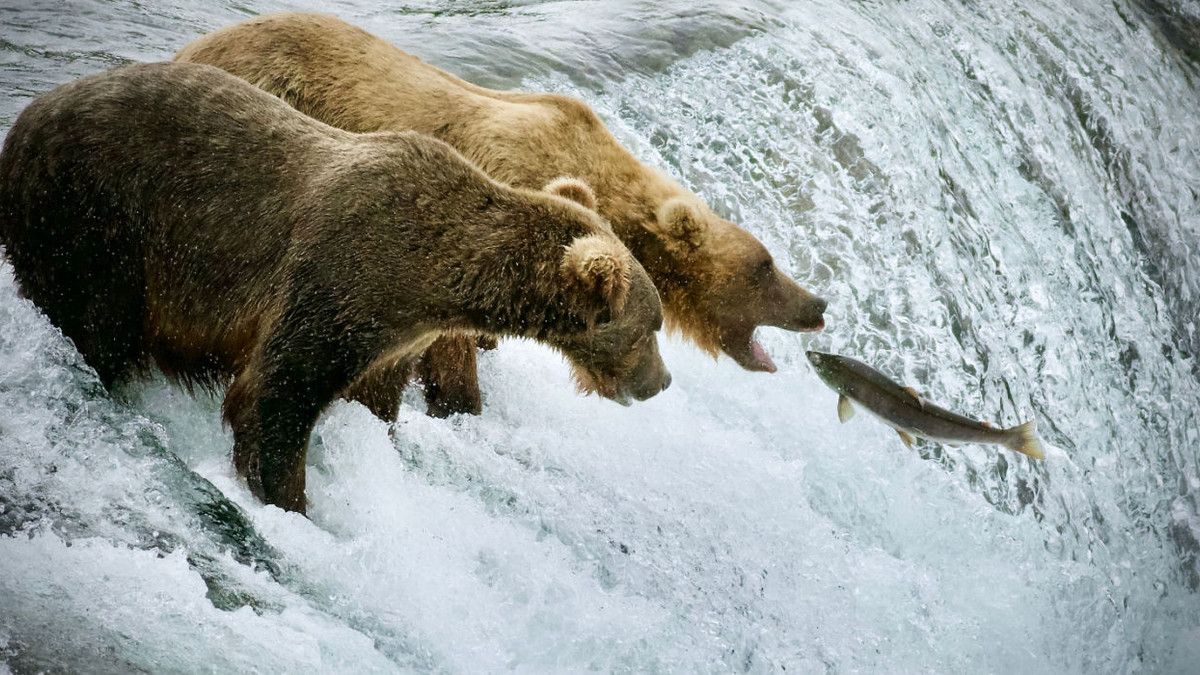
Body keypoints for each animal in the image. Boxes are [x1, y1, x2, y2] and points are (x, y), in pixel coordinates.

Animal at [0, 62, 670, 513]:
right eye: (651, 326)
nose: (661, 381)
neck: (437, 274)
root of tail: (23, 121)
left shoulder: (394, 335)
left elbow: (372, 398)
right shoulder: (339, 277)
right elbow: (272, 395)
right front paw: (289, 501)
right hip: (92, 223)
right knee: (97, 325)